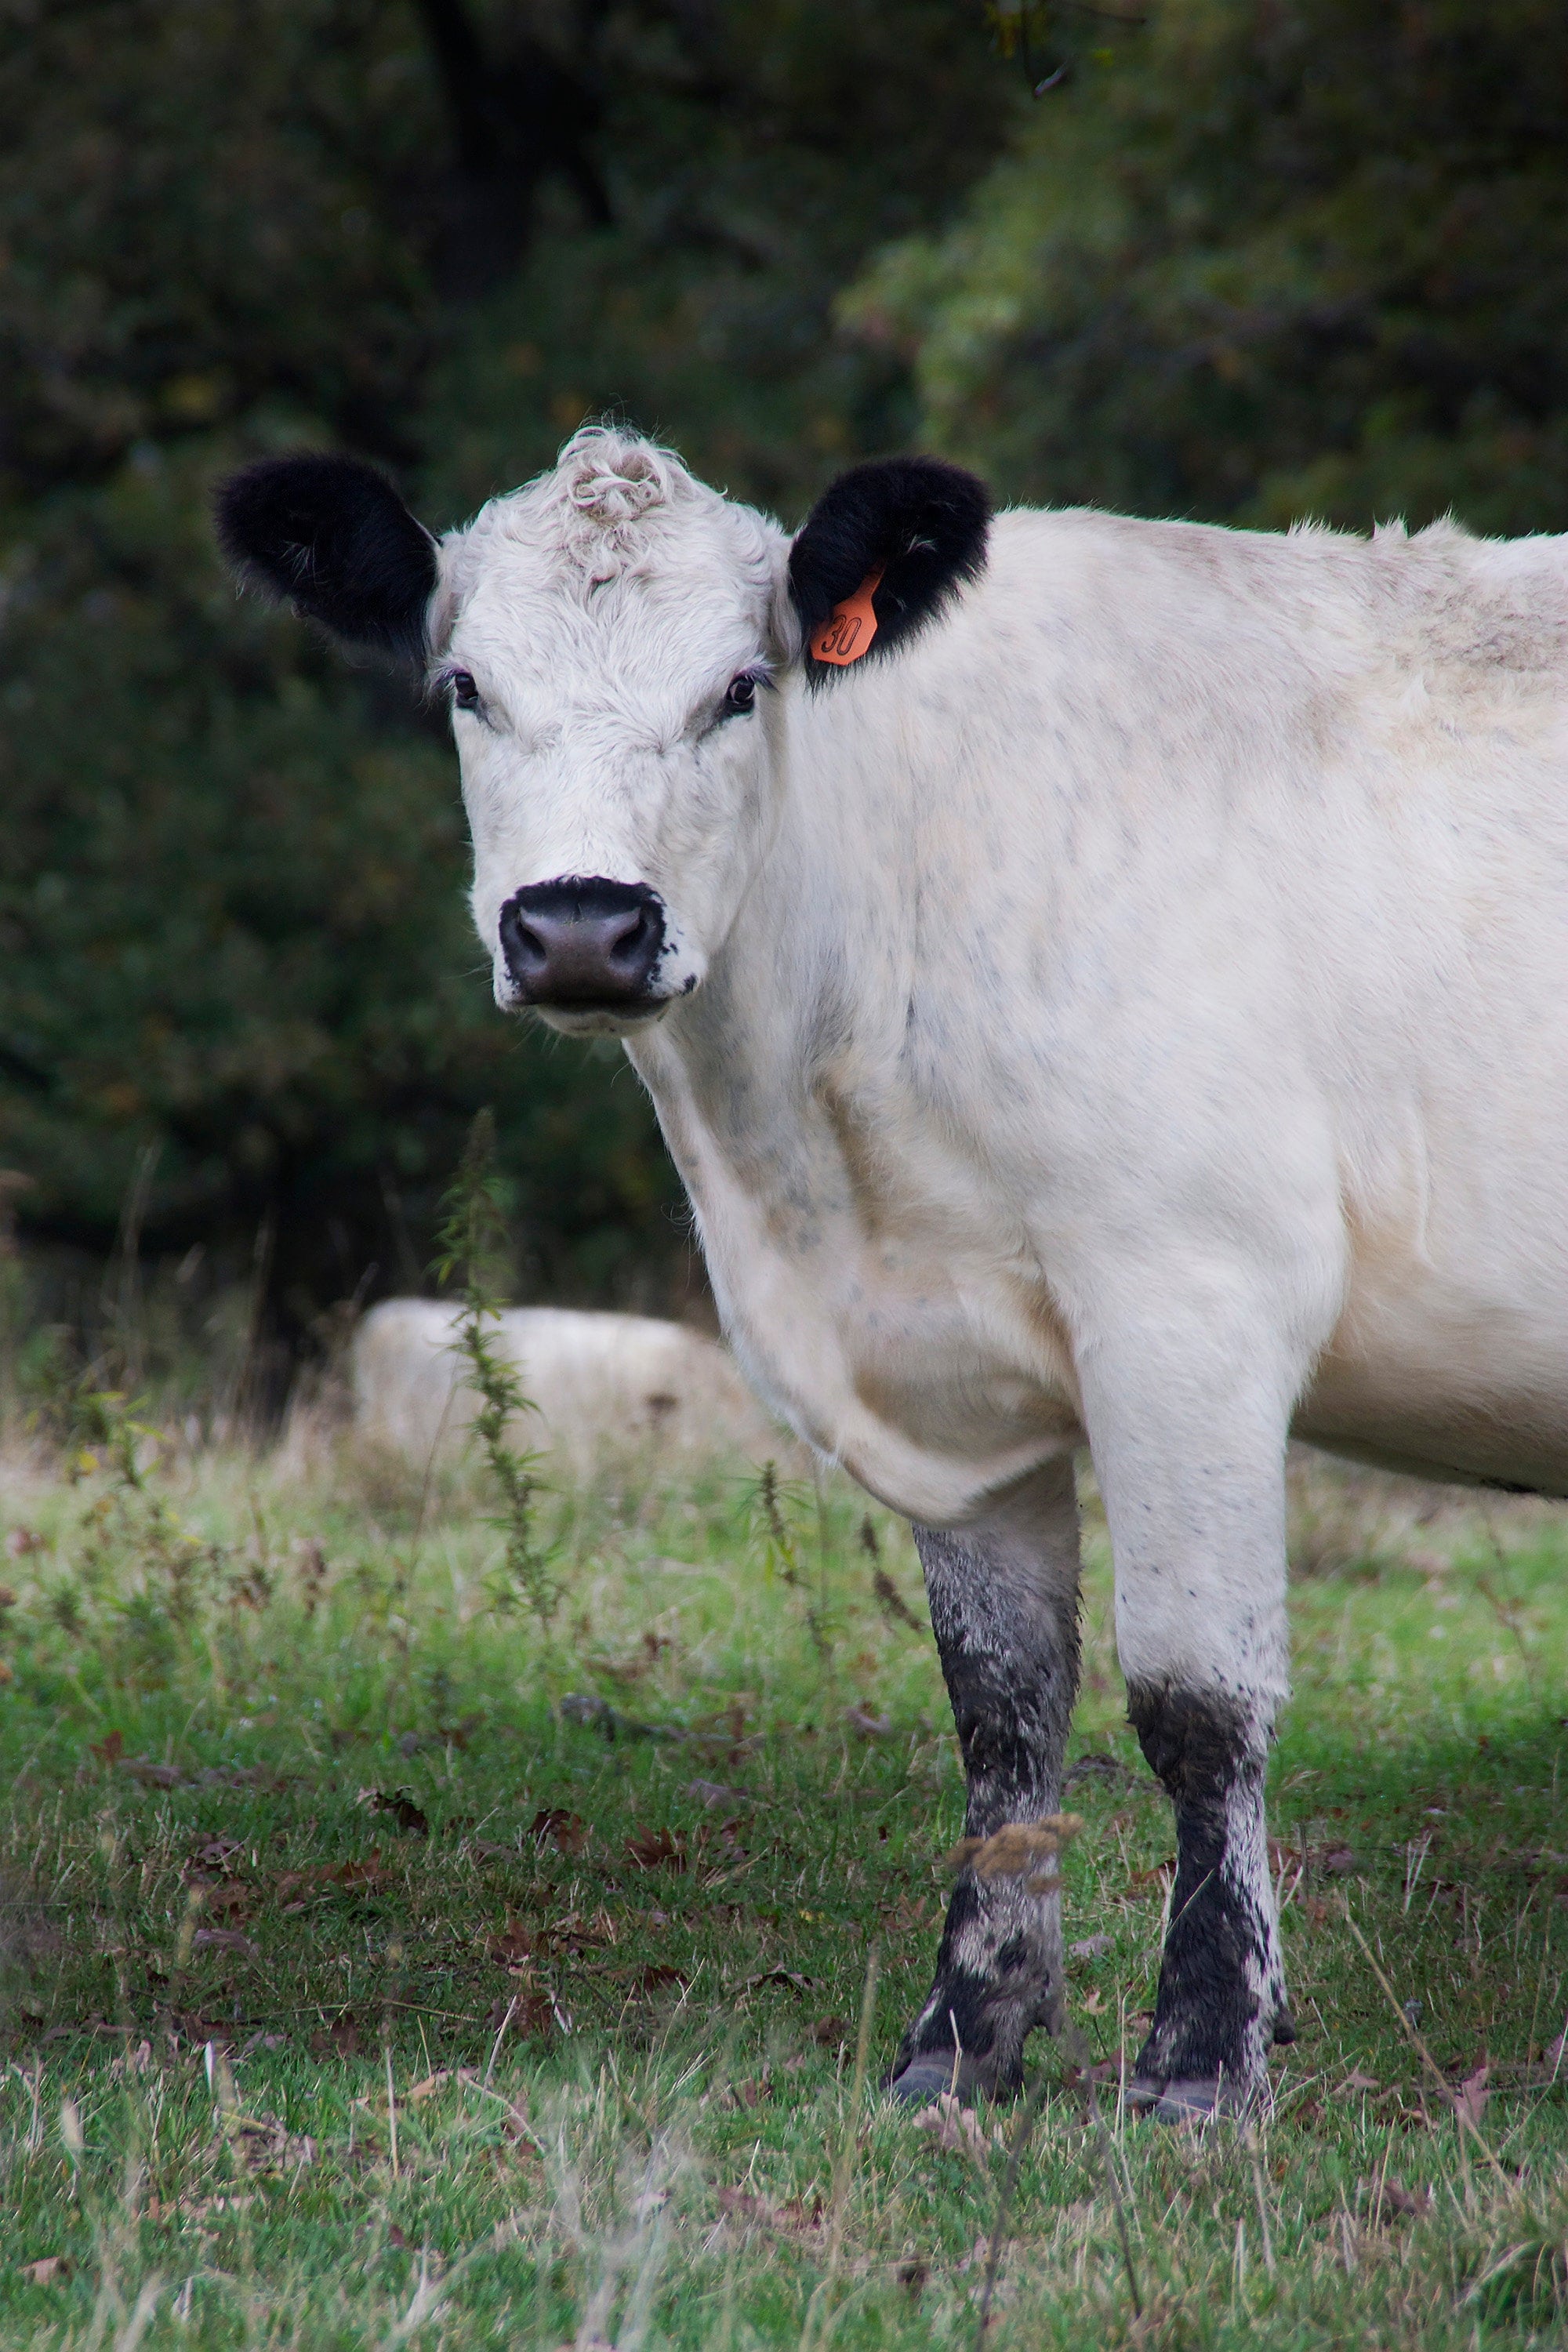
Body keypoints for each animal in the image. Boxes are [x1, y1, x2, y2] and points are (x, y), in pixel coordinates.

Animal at [217, 426, 1568, 2121]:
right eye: (464, 685)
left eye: (742, 686)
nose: (583, 926)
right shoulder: (945, 1363)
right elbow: (1002, 1708)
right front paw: (963, 2039)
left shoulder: (1189, 1296)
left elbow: (1196, 1703)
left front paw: (1202, 2057)